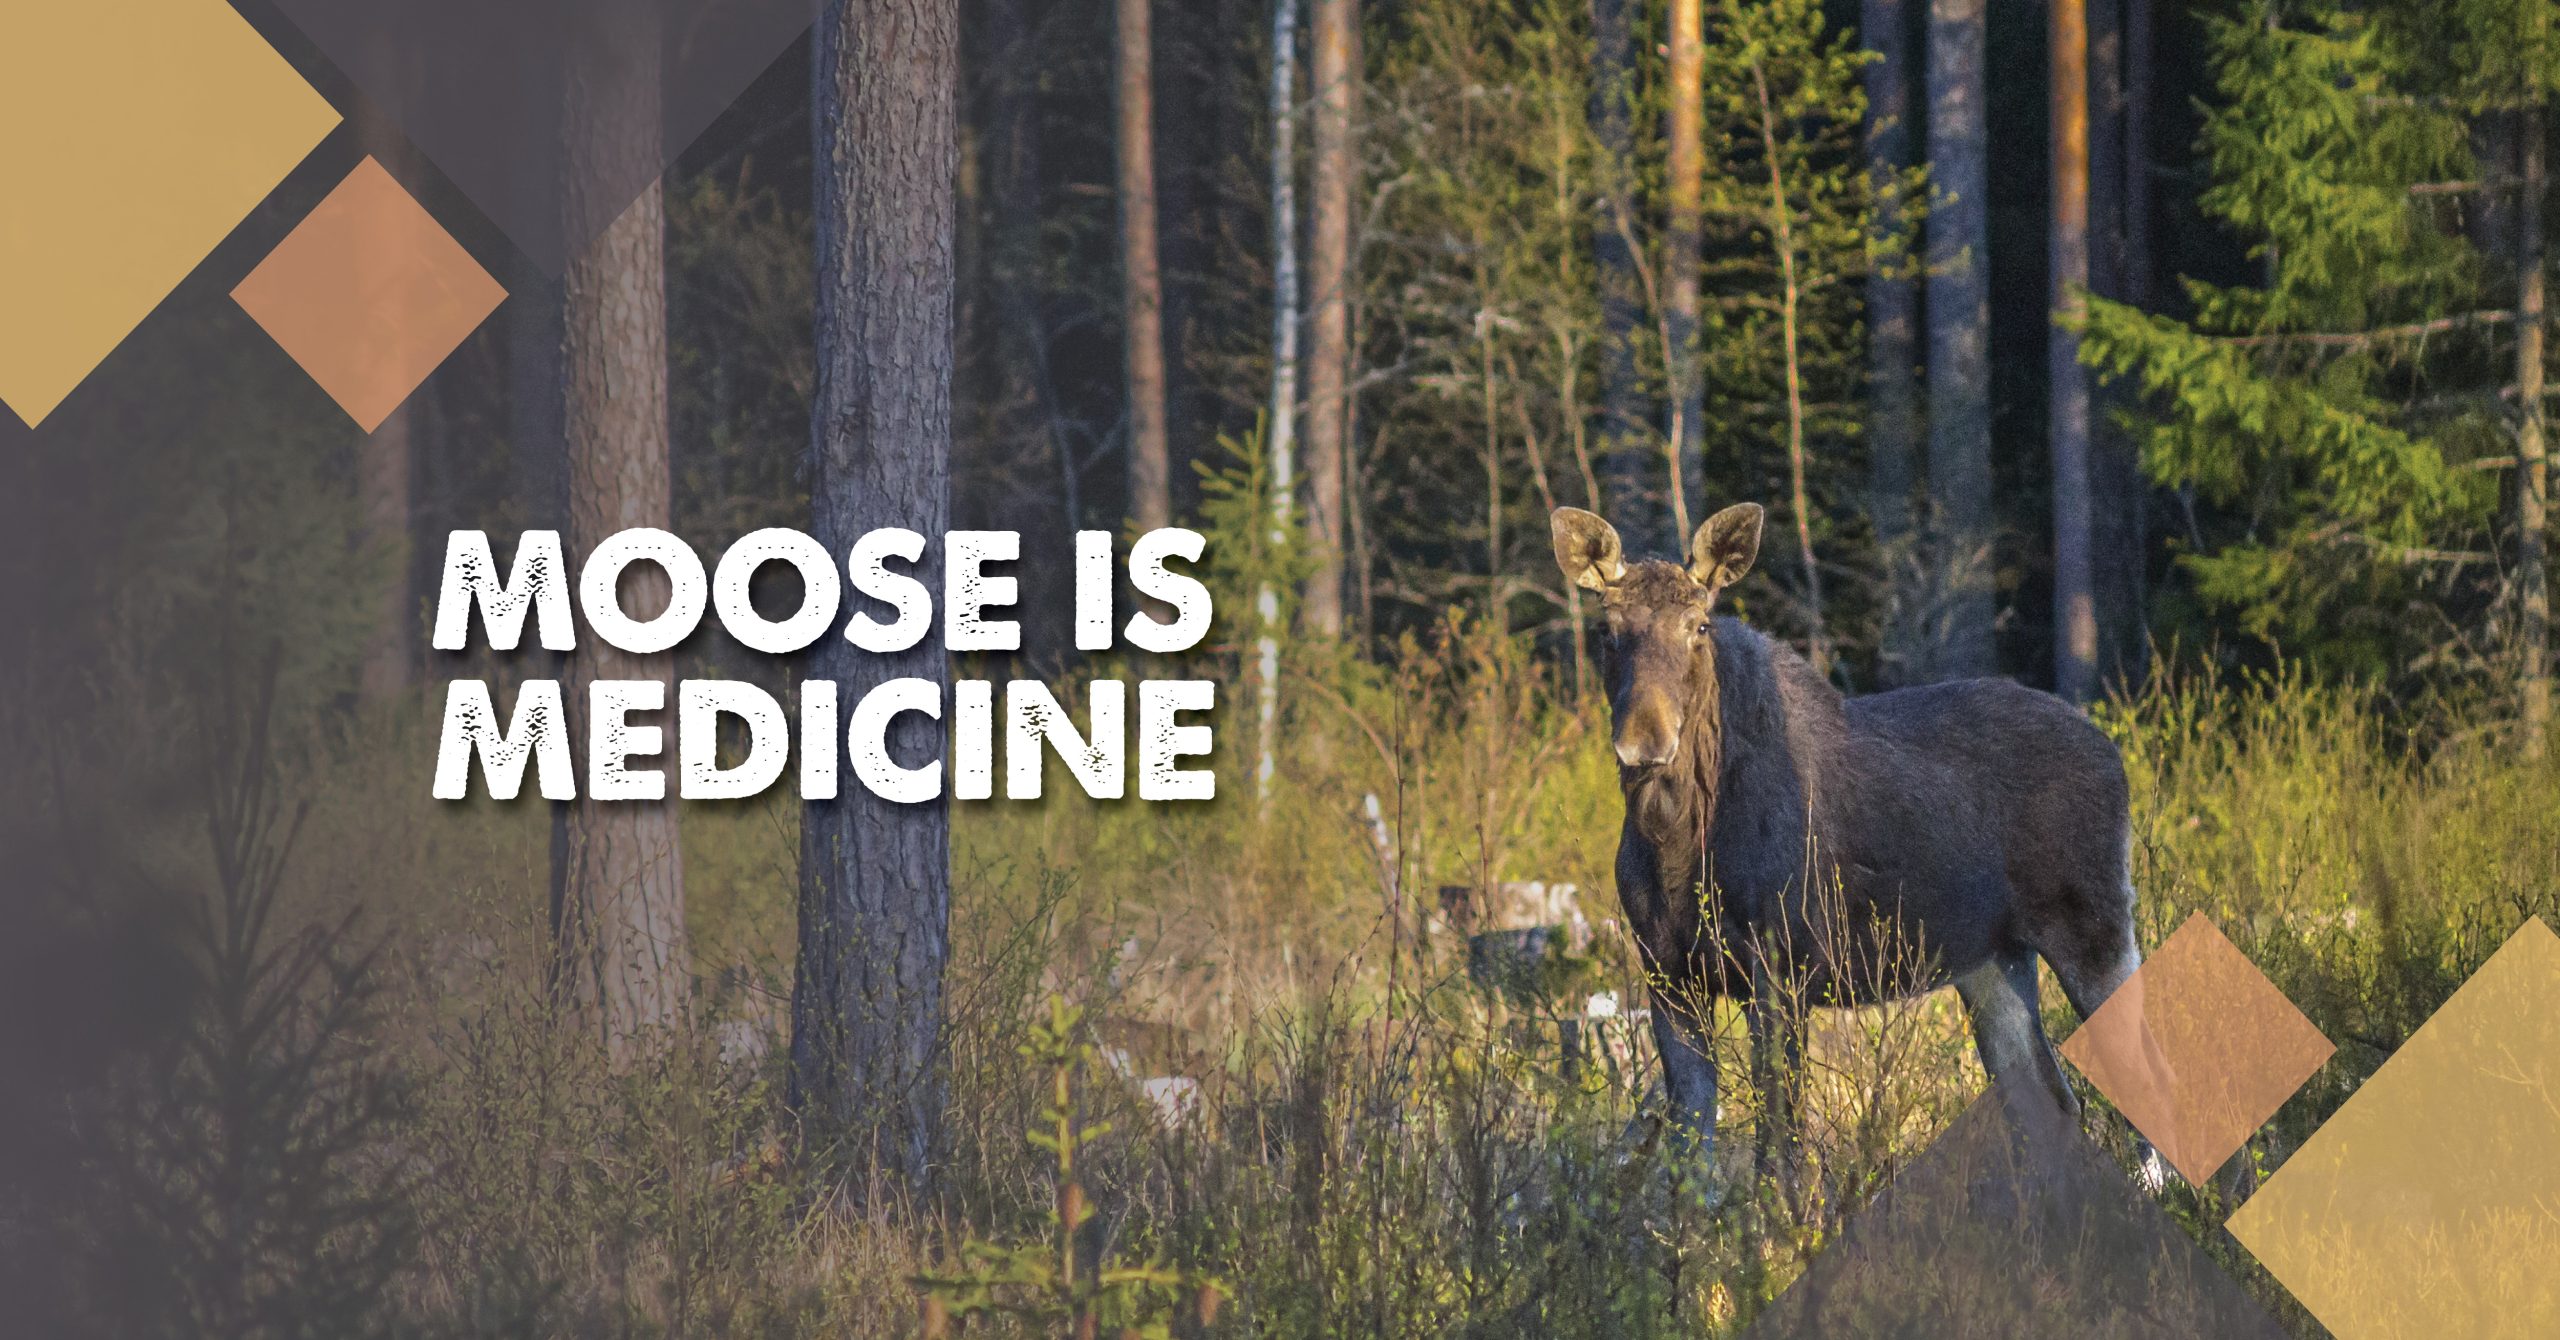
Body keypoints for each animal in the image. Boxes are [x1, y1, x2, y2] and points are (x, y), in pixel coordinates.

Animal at [1550, 502, 2168, 1193]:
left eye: (1700, 625)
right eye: (1607, 629)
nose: (1646, 740)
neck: (1677, 843)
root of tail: (2114, 752)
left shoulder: (1780, 968)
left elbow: (1779, 1142)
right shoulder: (1667, 975)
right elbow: (1692, 1157)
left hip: (2095, 929)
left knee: (2156, 1082)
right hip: (1992, 964)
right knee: (2049, 1100)